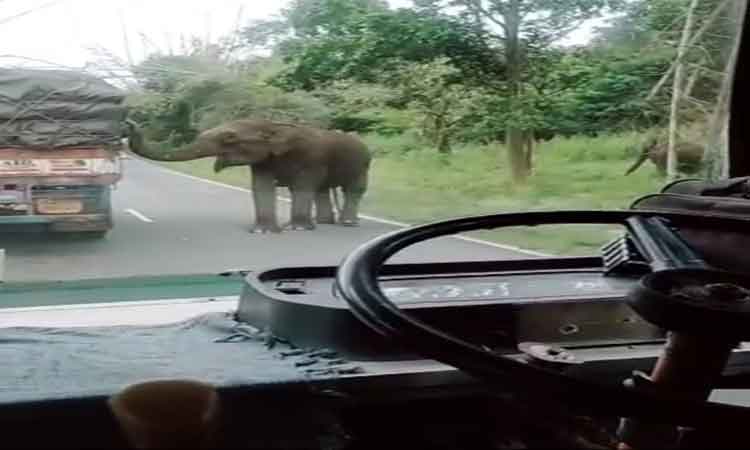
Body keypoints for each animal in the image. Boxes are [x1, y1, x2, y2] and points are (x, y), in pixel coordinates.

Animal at [126, 119, 371, 233]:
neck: (273, 125)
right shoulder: (263, 161)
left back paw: (347, 223)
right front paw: (264, 232)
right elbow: (261, 188)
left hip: (363, 164)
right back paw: (323, 223)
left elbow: (301, 188)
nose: (129, 124)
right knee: (322, 191)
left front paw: (297, 229)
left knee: (353, 189)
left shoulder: (311, 158)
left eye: (229, 138)